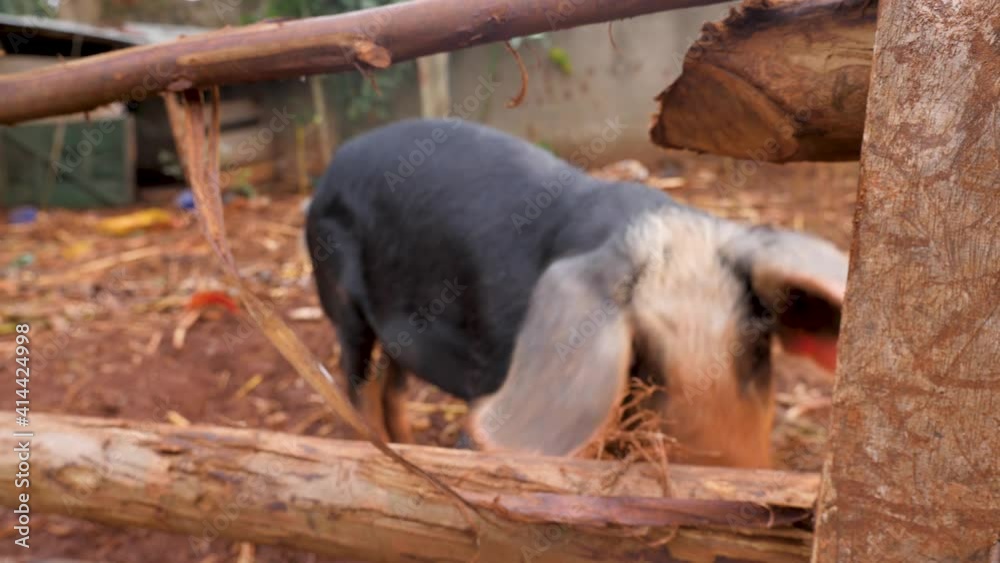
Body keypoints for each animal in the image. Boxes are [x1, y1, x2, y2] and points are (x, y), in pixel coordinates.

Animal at [306, 118, 847, 468]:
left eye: (757, 348)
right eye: (642, 367)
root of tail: (332, 165)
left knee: (392, 383)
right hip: (339, 296)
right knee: (358, 383)